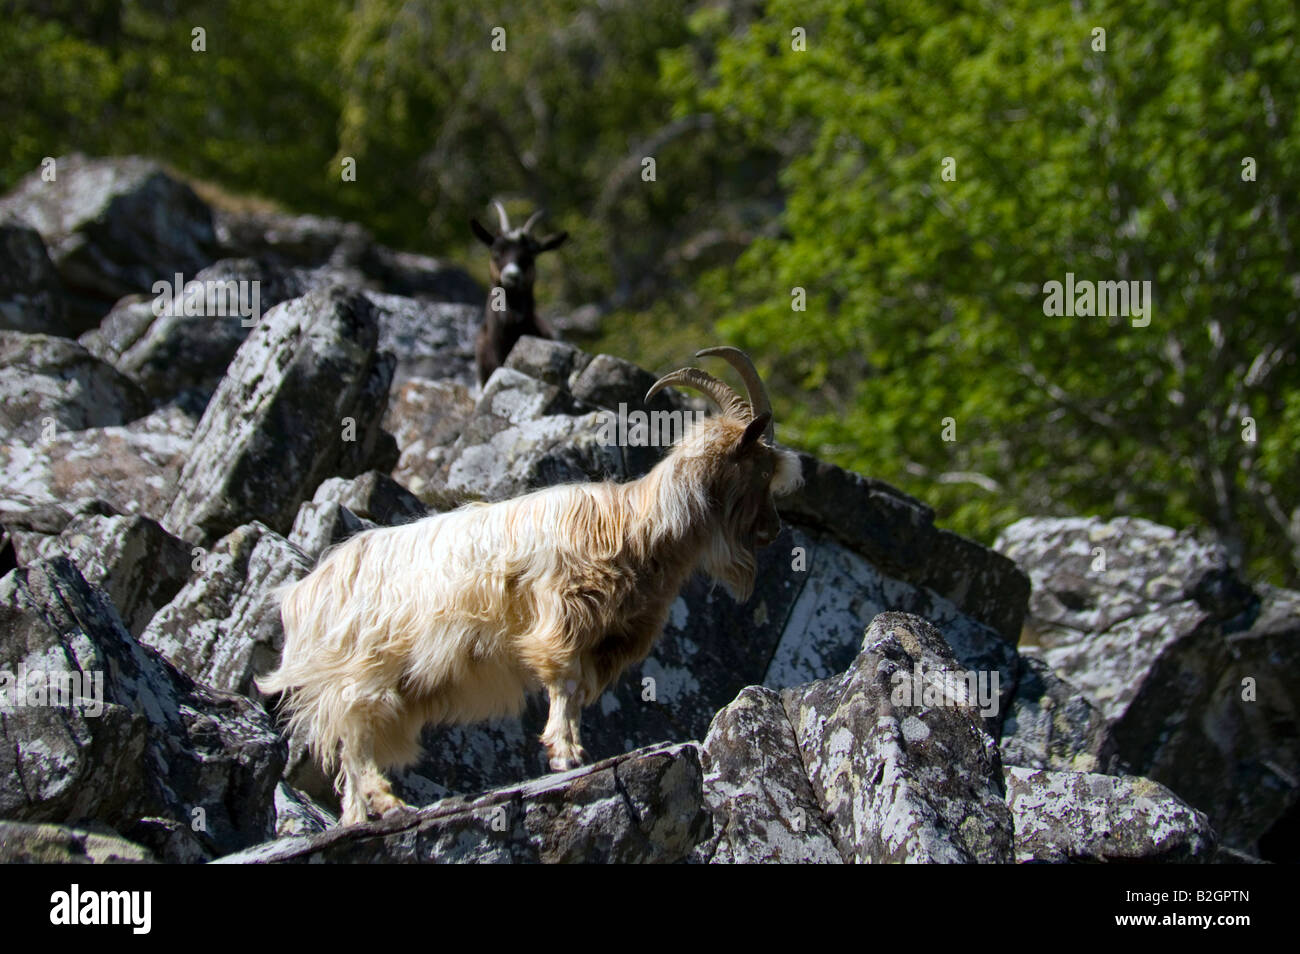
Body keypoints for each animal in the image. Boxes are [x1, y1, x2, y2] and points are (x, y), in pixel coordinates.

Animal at [257, 347, 803, 826]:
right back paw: (387, 804)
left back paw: (357, 816)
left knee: (348, 744)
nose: (774, 531)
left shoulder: (602, 640)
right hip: (363, 668)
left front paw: (574, 750)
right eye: (759, 470)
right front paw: (566, 754)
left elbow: (578, 693)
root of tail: (302, 594)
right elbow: (564, 683)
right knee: (355, 737)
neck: (634, 525)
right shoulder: (562, 619)